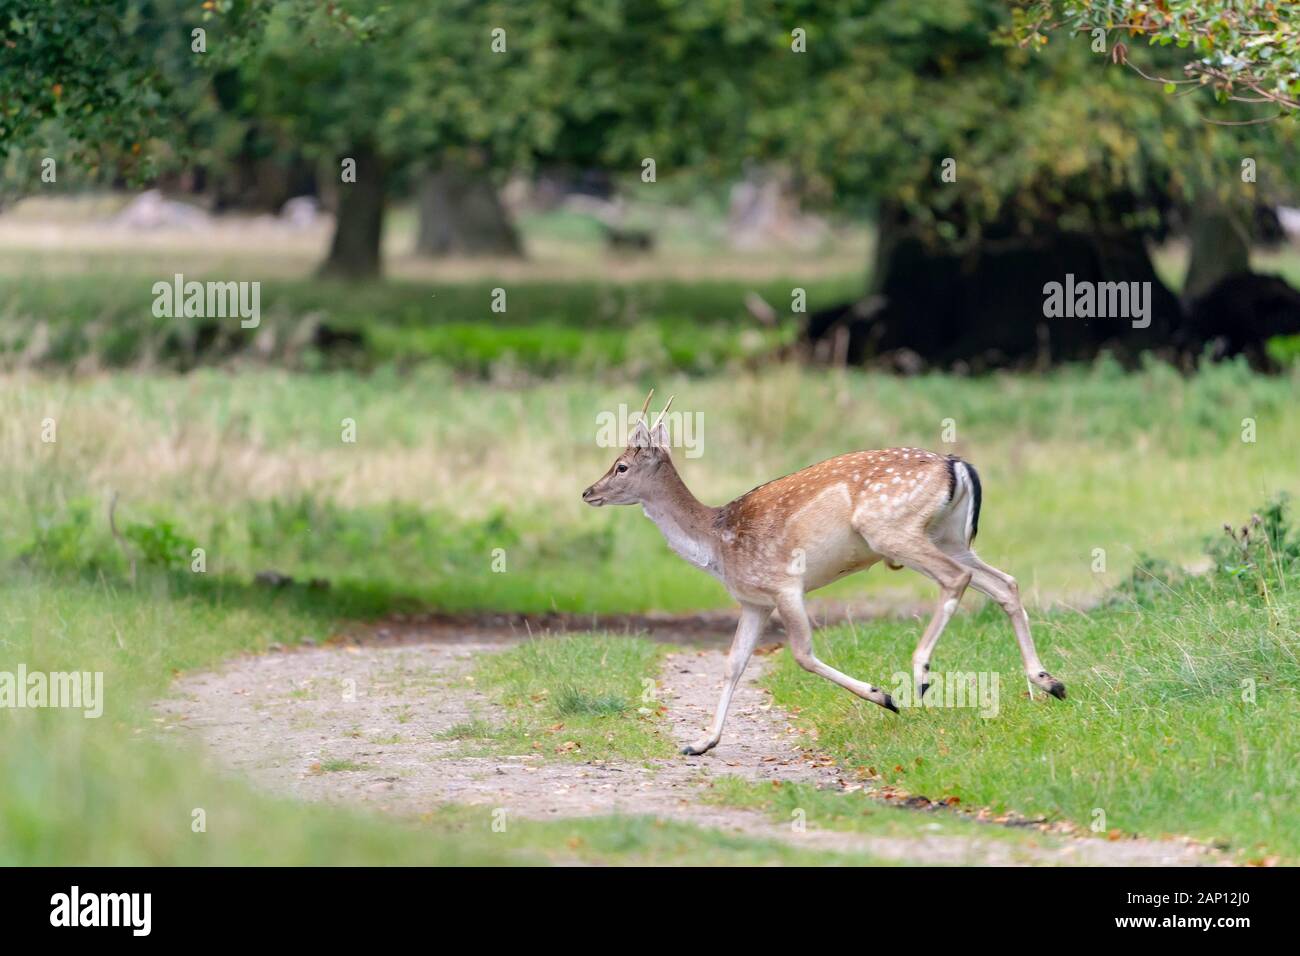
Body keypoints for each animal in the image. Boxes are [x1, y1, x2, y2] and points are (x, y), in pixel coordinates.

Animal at [582, 390, 1066, 756]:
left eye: (621, 466)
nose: (589, 491)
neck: (718, 542)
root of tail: (957, 464)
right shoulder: (753, 601)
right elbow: (733, 664)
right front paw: (701, 743)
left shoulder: (785, 584)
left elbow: (801, 653)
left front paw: (883, 697)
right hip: (950, 537)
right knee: (1006, 582)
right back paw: (1050, 682)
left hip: (891, 529)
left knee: (955, 579)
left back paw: (921, 674)